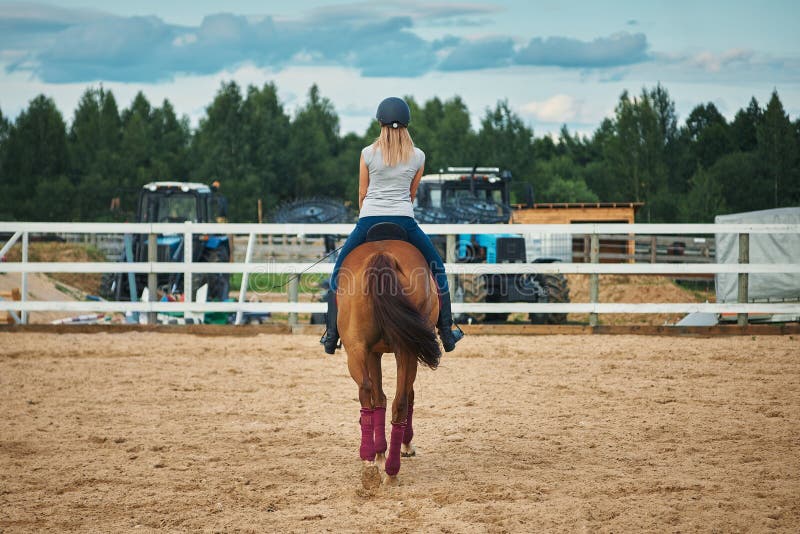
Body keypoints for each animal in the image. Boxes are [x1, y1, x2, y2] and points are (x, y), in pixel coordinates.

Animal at [335, 223, 442, 488]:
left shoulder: (373, 353)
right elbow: (388, 396)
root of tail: (382, 255)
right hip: (400, 350)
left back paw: (373, 462)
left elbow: (380, 397)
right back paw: (388, 467)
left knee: (372, 393)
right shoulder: (378, 353)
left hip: (361, 349)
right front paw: (389, 449)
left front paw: (381, 451)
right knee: (397, 399)